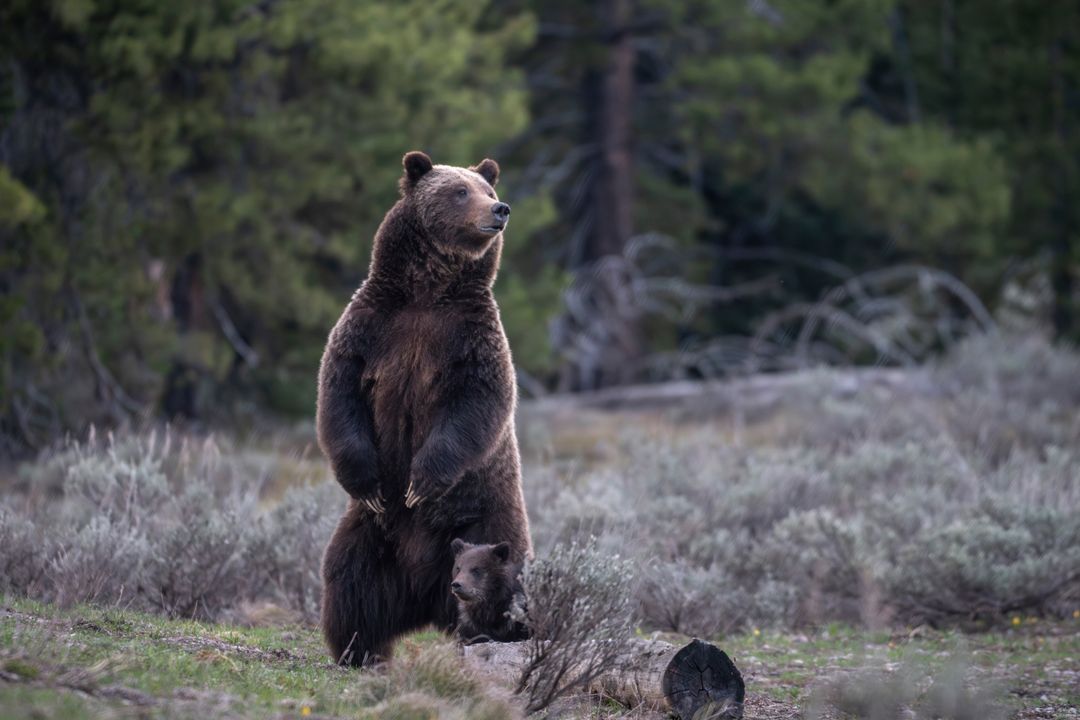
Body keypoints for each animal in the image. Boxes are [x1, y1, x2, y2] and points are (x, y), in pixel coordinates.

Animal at [317, 150, 533, 666]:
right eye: (460, 191)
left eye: (488, 190)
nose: (500, 210)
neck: (427, 292)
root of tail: (425, 595)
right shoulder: (371, 328)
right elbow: (340, 395)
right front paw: (369, 482)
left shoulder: (471, 339)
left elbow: (476, 404)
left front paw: (421, 482)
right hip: (373, 537)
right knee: (349, 581)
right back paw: (358, 650)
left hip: (487, 521)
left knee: (505, 579)